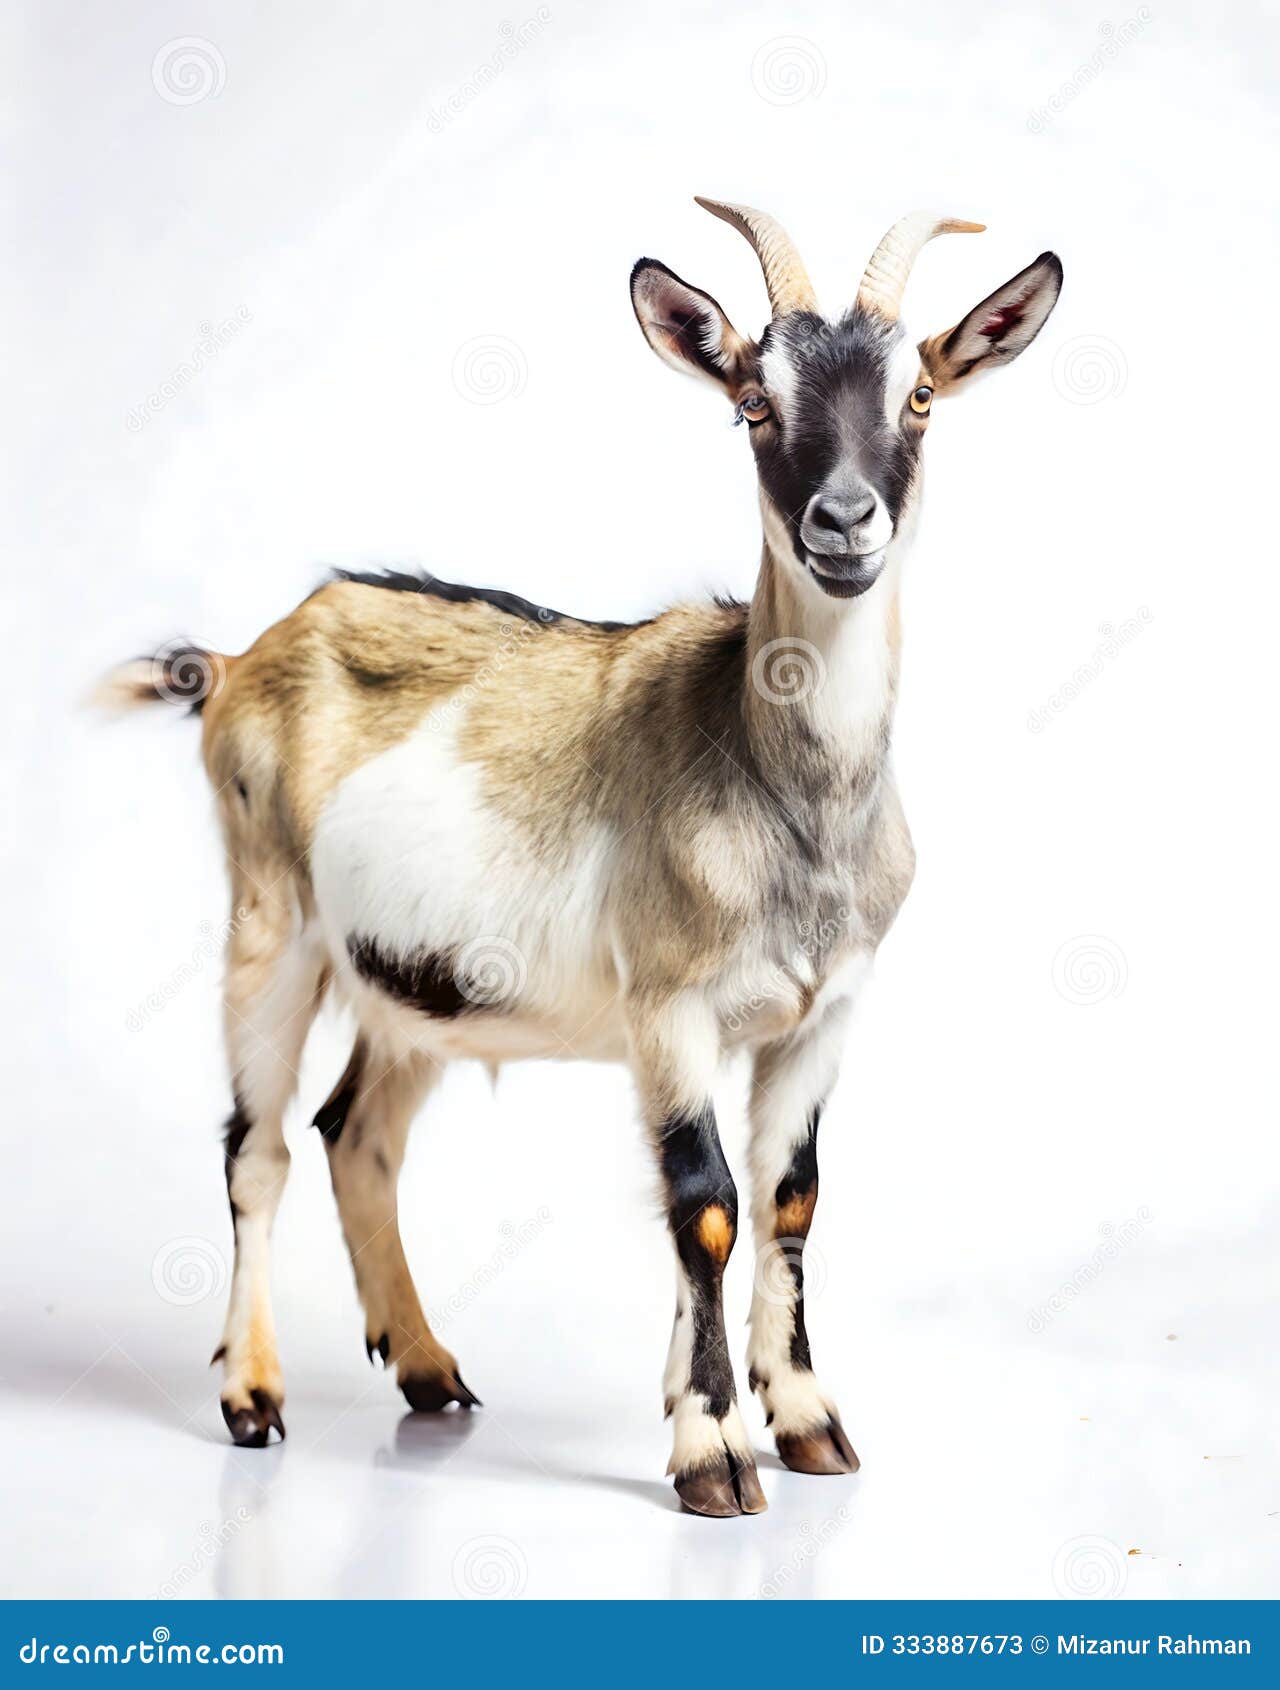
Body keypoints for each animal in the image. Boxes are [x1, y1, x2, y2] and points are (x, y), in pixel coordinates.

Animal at [100, 200, 1062, 1516]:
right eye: (750, 401)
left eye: (918, 394)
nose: (843, 522)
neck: (779, 786)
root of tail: (243, 659)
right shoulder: (668, 1005)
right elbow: (704, 1205)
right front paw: (713, 1454)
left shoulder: (823, 1011)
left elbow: (788, 1194)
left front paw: (804, 1422)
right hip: (271, 922)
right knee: (259, 1146)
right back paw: (252, 1395)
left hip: (417, 985)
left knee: (359, 1134)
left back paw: (427, 1365)